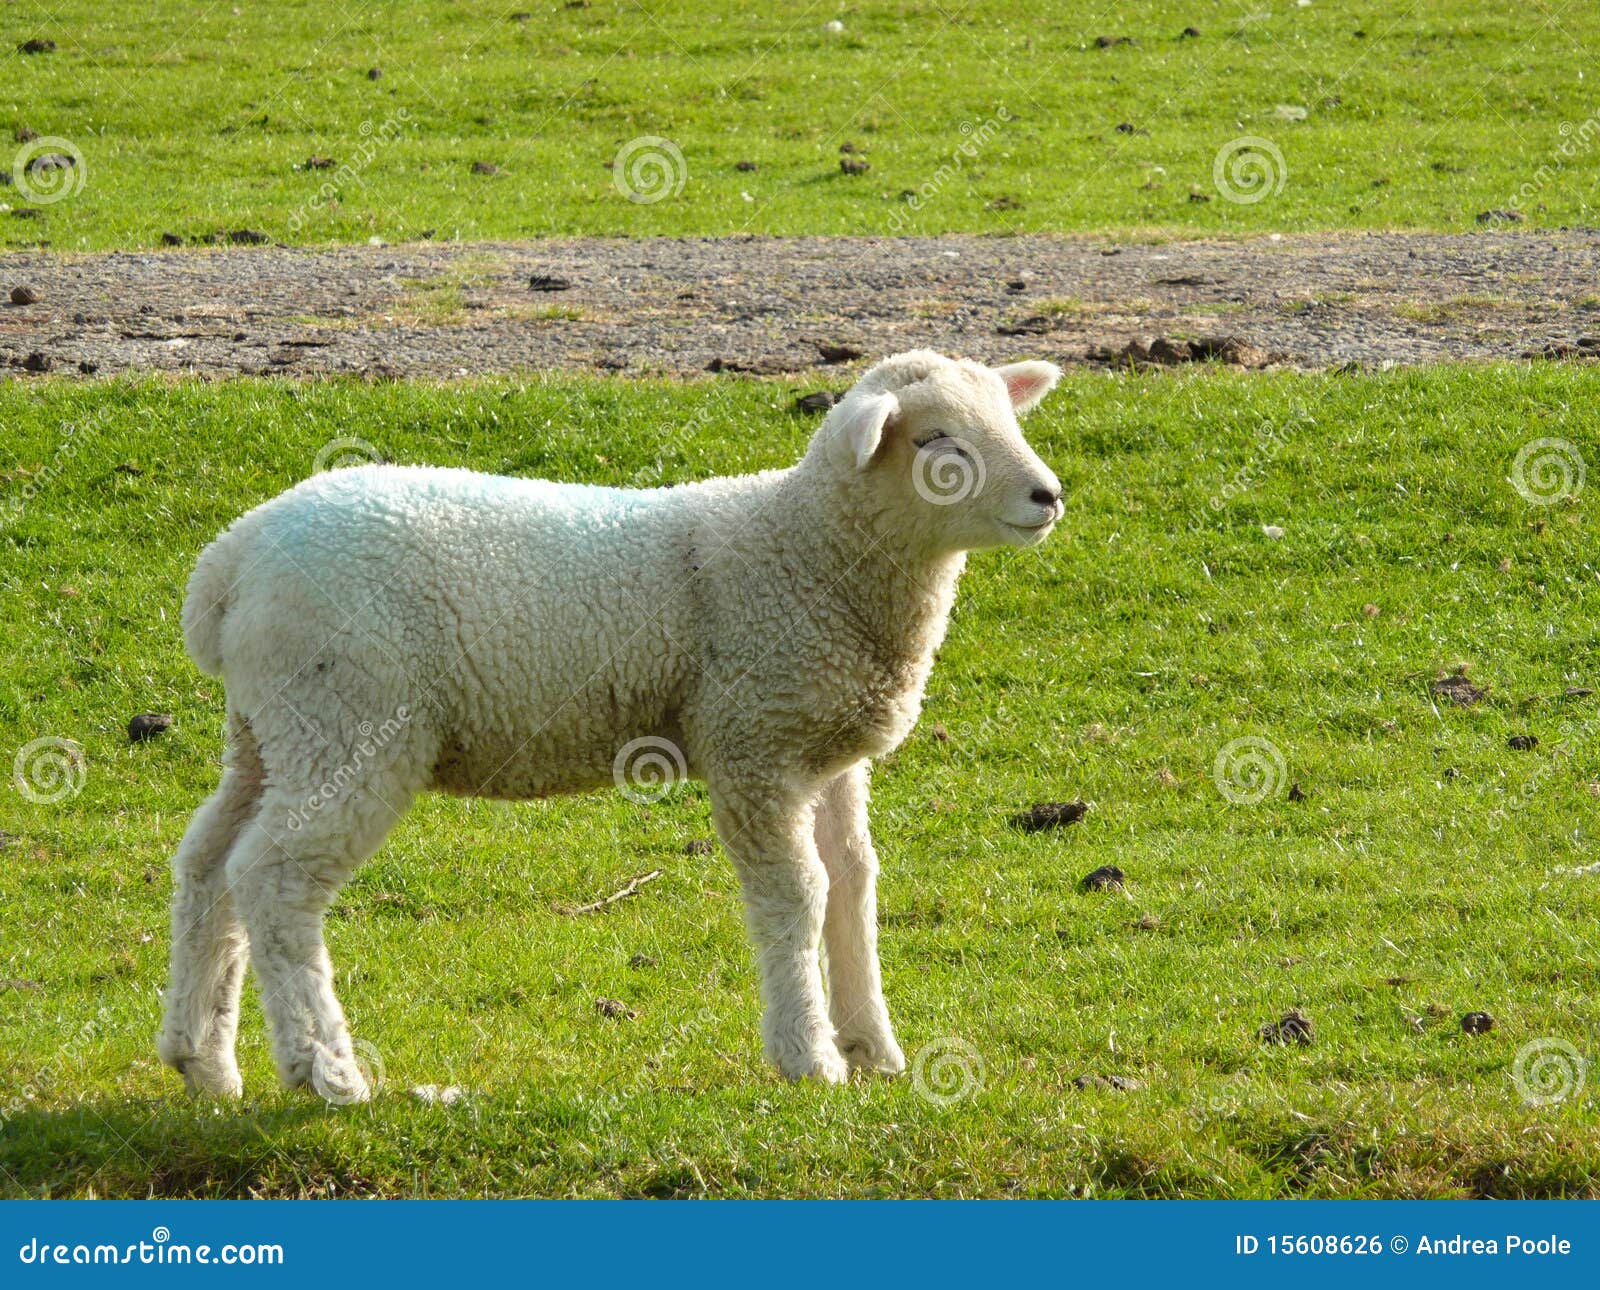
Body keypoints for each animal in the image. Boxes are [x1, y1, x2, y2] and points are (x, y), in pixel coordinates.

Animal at [158, 350, 1064, 1100]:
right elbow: (797, 892)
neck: (808, 551)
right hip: (349, 720)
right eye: (934, 439)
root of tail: (227, 564)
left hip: (273, 729)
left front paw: (873, 1047)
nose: (1048, 495)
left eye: (1009, 418)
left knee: (208, 863)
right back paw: (325, 1071)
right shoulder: (754, 745)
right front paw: (809, 1057)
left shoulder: (828, 752)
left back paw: (202, 1059)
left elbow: (853, 881)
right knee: (272, 877)